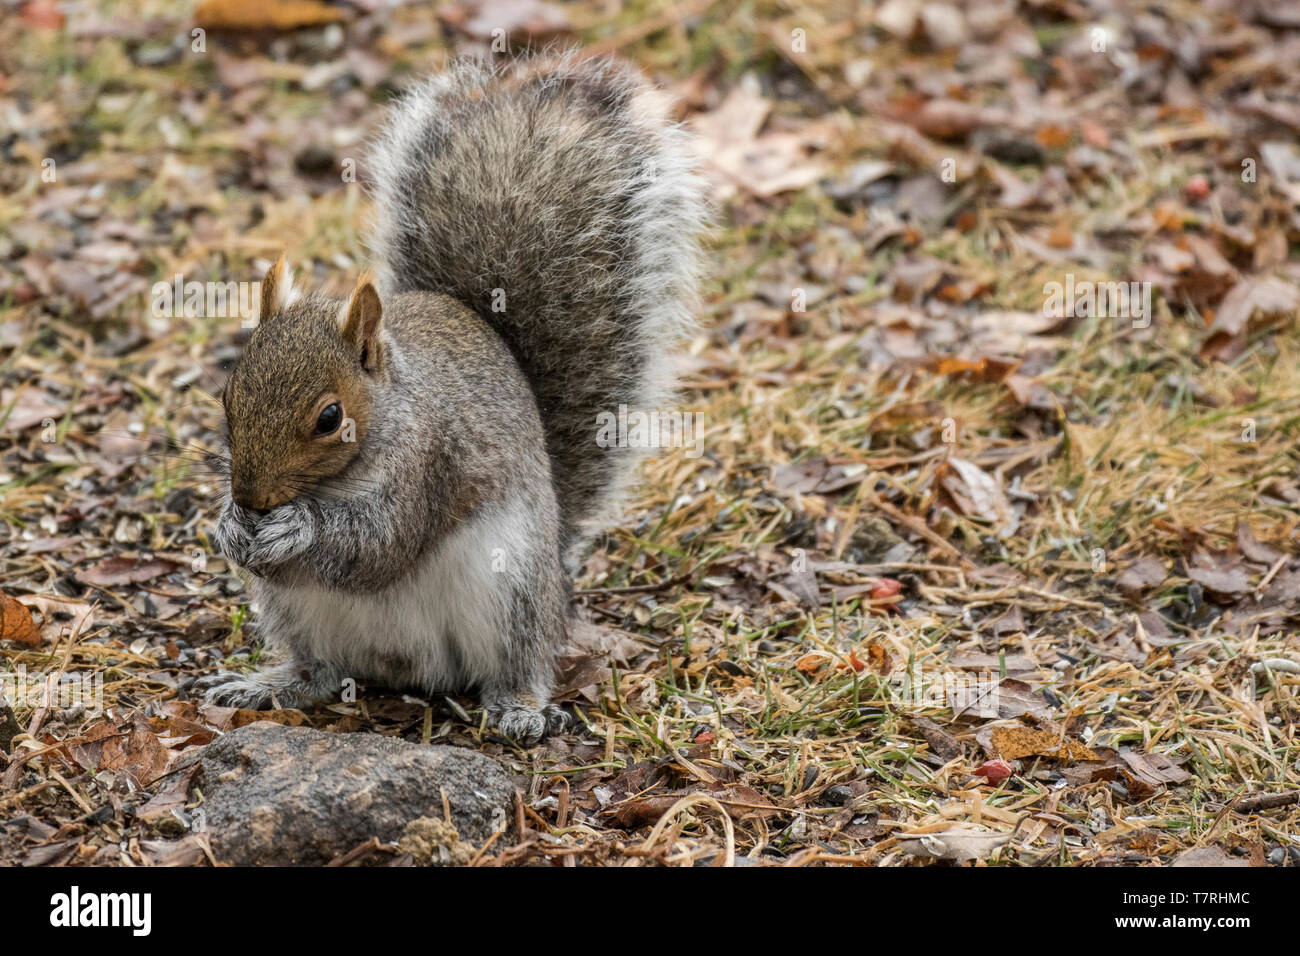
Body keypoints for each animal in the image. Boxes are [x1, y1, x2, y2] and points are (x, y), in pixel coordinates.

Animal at [193, 53, 706, 743]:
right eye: (228, 393)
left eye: (330, 418)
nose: (250, 499)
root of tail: (405, 667)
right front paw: (229, 527)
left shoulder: (429, 462)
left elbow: (378, 545)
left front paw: (297, 527)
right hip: (296, 613)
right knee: (320, 672)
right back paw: (270, 685)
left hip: (511, 588)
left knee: (518, 660)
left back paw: (520, 708)